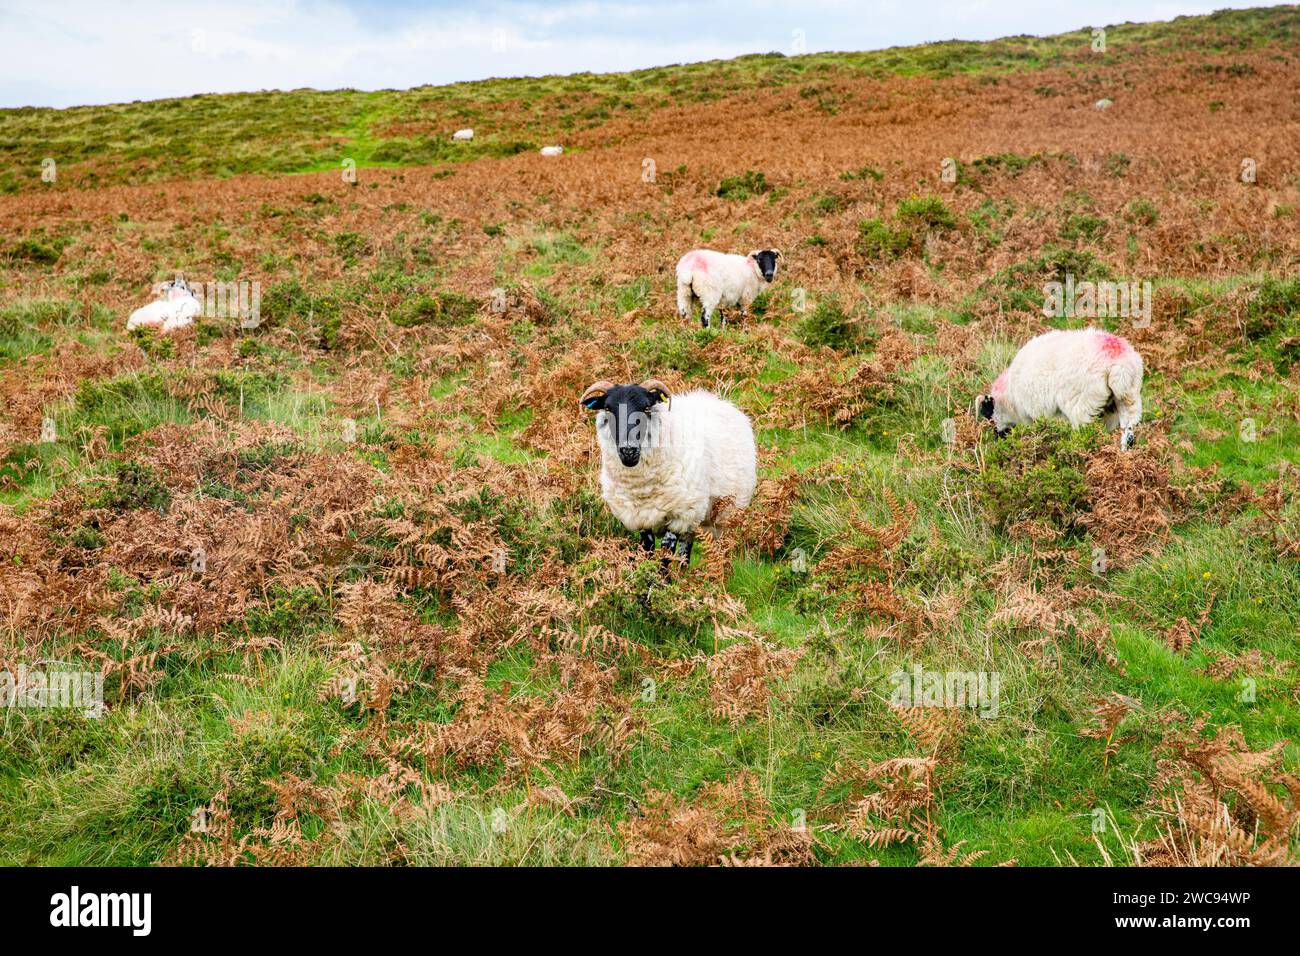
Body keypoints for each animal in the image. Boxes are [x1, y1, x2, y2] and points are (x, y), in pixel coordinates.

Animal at [579, 378, 757, 562]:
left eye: (646, 408)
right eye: (607, 409)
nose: (628, 451)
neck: (642, 488)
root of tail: (719, 401)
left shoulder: (679, 515)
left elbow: (666, 554)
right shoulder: (642, 518)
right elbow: (648, 551)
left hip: (722, 513)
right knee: (685, 551)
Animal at [977, 327, 1144, 449]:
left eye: (988, 413)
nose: (997, 438)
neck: (1009, 397)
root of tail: (1116, 357)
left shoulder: (1033, 412)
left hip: (1081, 405)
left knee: (1085, 433)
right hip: (1128, 397)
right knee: (1128, 433)